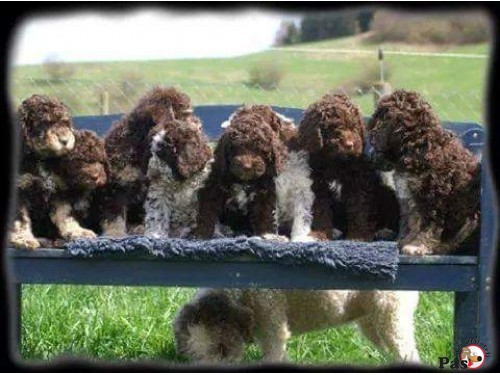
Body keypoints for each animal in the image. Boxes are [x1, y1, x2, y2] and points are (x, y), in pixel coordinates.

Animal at [9, 95, 76, 251]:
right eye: (45, 123)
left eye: (65, 122)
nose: (65, 140)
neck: (41, 158)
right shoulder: (19, 189)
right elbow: (20, 219)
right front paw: (23, 239)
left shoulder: (59, 188)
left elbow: (65, 213)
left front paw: (77, 231)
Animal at [174, 288, 420, 364]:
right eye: (194, 356)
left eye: (222, 349)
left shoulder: (272, 320)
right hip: (372, 322)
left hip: (392, 316)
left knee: (407, 352)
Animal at [195, 108, 290, 239]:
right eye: (235, 148)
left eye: (260, 150)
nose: (247, 166)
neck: (245, 181)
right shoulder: (214, 187)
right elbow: (207, 211)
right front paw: (201, 233)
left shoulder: (264, 194)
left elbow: (264, 216)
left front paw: (267, 233)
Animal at [368, 89, 480, 258]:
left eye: (382, 116)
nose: (371, 134)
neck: (416, 148)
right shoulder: (408, 197)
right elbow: (410, 223)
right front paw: (403, 241)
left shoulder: (433, 196)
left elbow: (427, 226)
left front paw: (416, 245)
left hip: (471, 220)